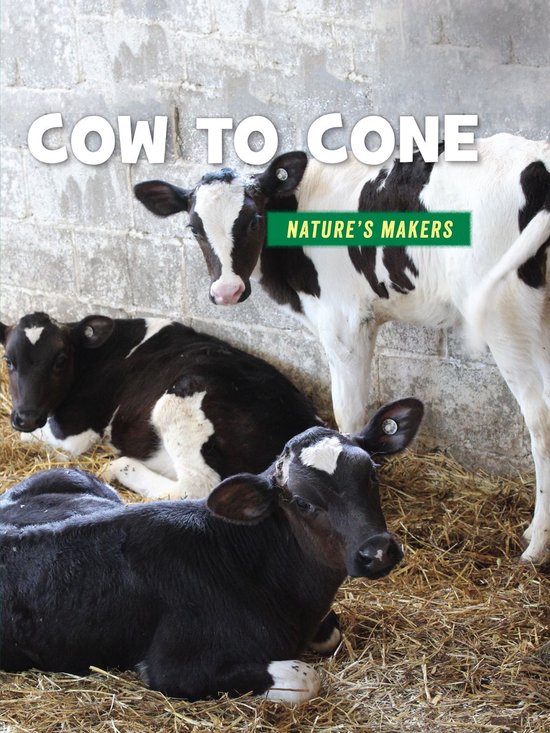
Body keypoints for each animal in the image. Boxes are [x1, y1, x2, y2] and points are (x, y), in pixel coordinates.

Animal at [0, 312, 320, 499]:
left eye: (61, 360)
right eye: (8, 360)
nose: (26, 417)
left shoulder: (76, 431)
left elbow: (35, 440)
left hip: (182, 396)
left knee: (196, 488)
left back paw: (118, 468)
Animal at [0, 398, 423, 703]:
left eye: (372, 473)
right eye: (303, 502)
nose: (377, 551)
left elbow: (330, 634)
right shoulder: (172, 667)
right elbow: (306, 677)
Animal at [134, 133, 550, 564]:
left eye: (253, 219)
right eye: (194, 227)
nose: (226, 291)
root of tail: (537, 158)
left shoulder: (343, 322)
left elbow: (348, 414)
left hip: (506, 309)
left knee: (540, 418)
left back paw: (535, 546)